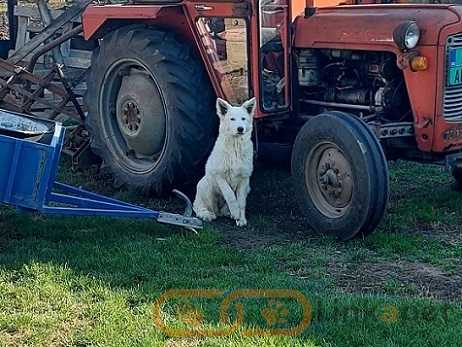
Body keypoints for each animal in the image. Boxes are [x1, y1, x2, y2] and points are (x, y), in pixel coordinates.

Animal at [192, 98, 256, 228]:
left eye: (243, 119)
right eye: (232, 119)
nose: (240, 129)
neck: (235, 146)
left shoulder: (244, 179)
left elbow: (241, 201)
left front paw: (241, 219)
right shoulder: (219, 175)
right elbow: (230, 195)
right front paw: (235, 213)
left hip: (248, 188)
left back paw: (227, 212)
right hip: (205, 185)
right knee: (199, 207)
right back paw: (207, 214)